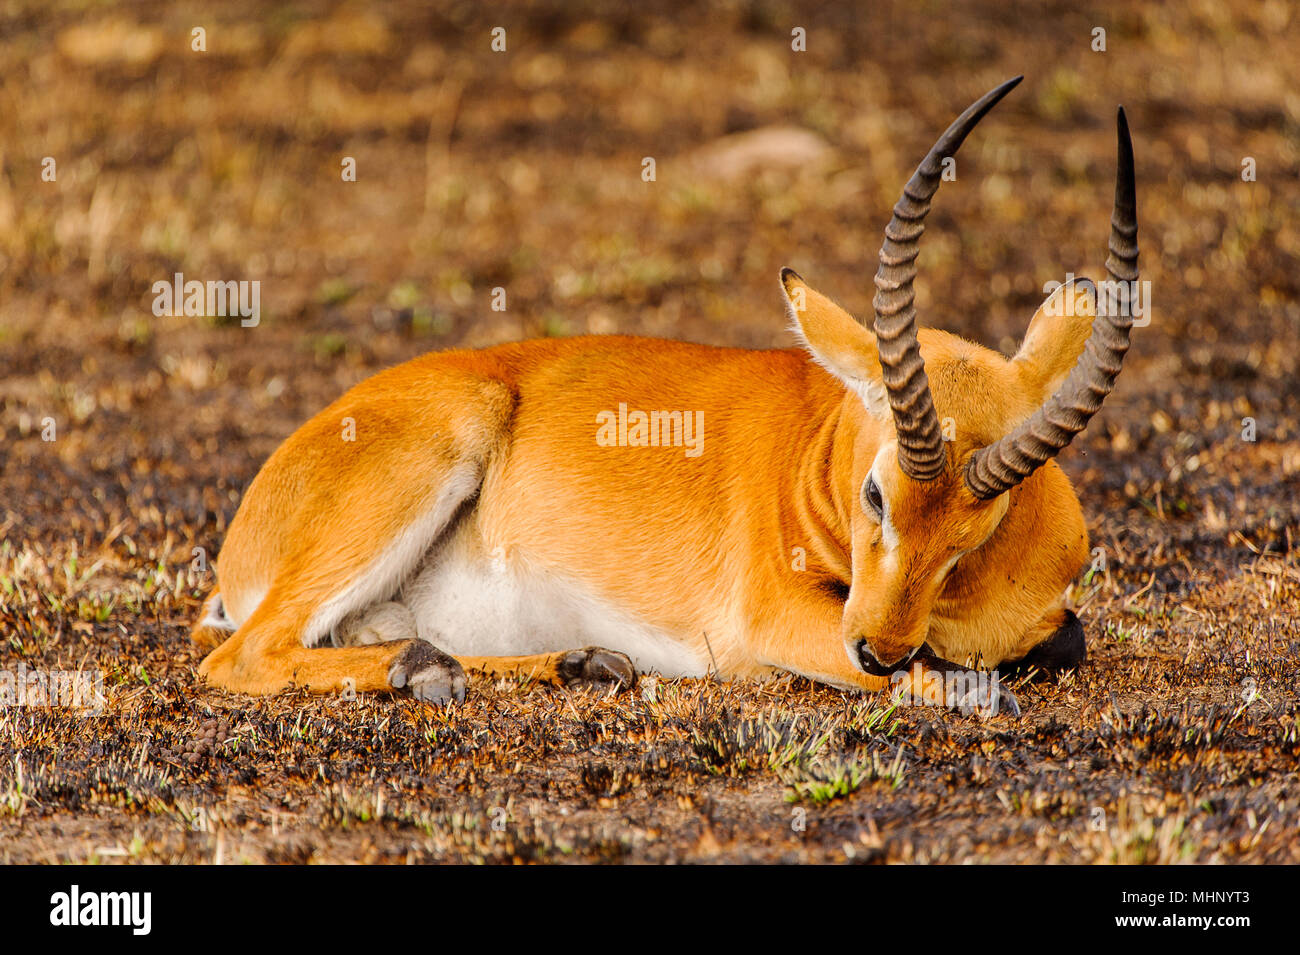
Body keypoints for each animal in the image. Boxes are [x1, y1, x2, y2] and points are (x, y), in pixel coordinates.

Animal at [192, 76, 1139, 712]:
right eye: (878, 494)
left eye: (978, 530)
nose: (876, 645)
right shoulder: (778, 620)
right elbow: (960, 681)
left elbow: (1063, 639)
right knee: (238, 657)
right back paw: (427, 667)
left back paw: (569, 662)